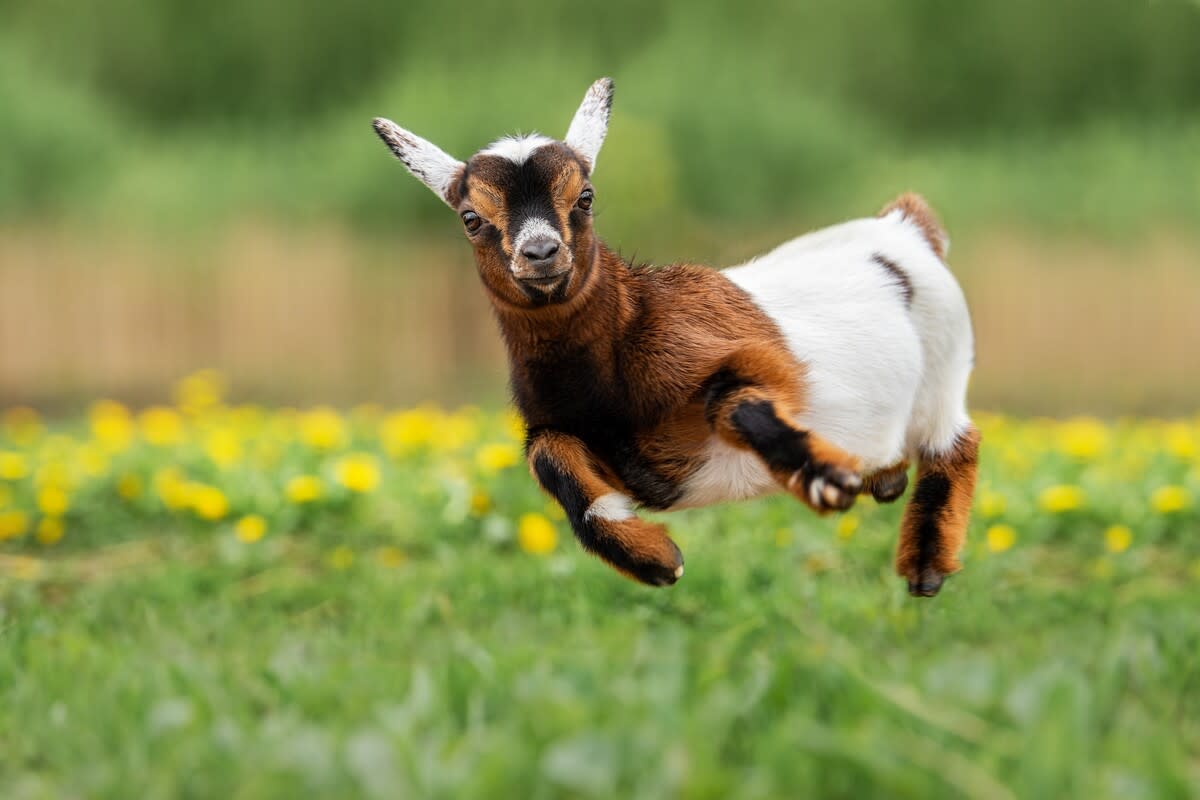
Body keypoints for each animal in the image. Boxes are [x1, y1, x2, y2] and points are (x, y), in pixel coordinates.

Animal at [373, 78, 978, 597]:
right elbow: (550, 459)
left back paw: (924, 566)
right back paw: (886, 484)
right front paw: (655, 560)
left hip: (944, 369)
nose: (541, 253)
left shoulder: (742, 355)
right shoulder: (563, 427)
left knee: (957, 444)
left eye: (585, 197)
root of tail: (904, 226)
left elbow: (736, 404)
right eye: (470, 217)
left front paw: (825, 480)